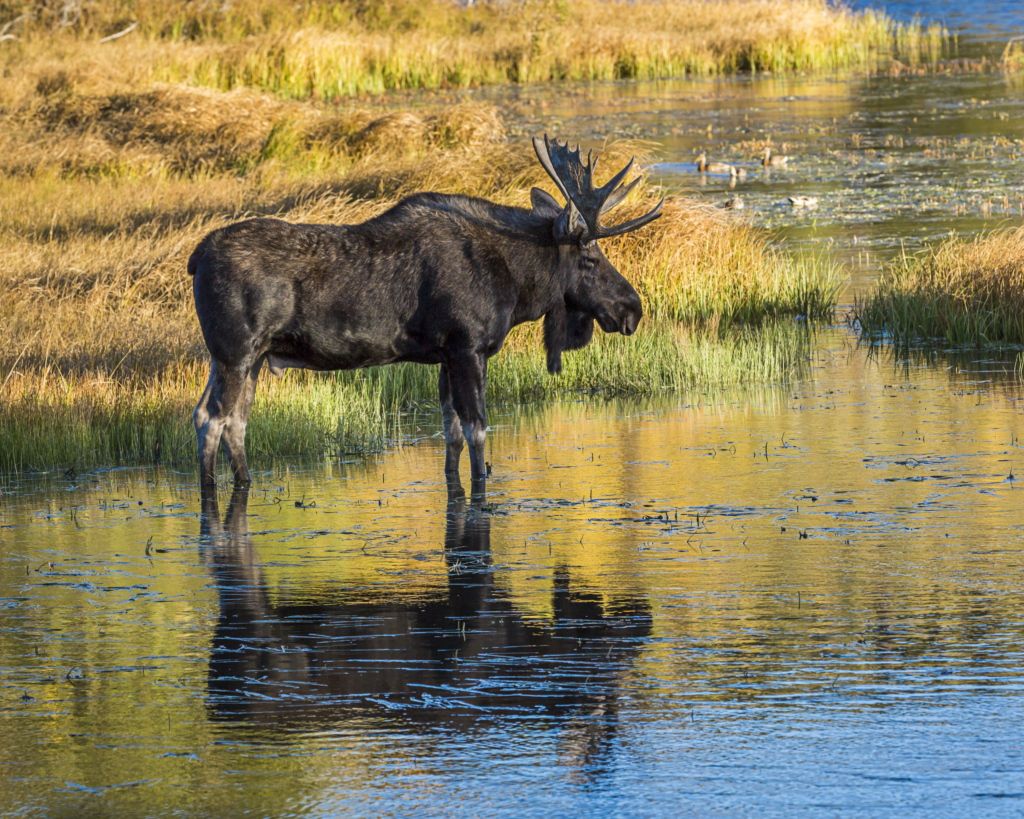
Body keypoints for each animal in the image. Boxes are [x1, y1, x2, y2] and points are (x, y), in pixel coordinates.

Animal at [188, 135, 663, 487]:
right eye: (590, 258)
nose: (632, 308)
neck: (517, 282)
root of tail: (196, 259)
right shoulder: (467, 347)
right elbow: (477, 432)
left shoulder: (444, 356)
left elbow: (451, 436)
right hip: (235, 352)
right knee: (212, 418)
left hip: (245, 358)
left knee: (231, 422)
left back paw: (245, 482)